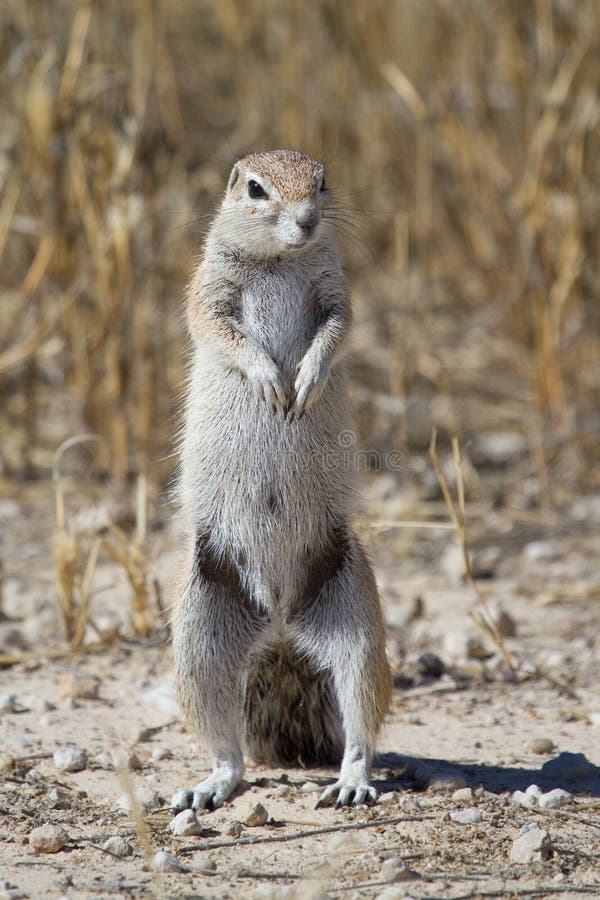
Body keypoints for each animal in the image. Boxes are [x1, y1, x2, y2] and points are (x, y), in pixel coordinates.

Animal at [171, 149, 391, 813]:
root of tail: (279, 623)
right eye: (255, 189)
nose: (309, 220)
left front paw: (309, 376)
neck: (281, 259)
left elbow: (339, 326)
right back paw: (211, 785)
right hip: (197, 631)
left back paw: (351, 781)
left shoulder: (338, 291)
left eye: (323, 181)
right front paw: (269, 376)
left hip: (356, 618)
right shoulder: (209, 290)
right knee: (228, 747)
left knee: (360, 719)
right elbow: (219, 328)